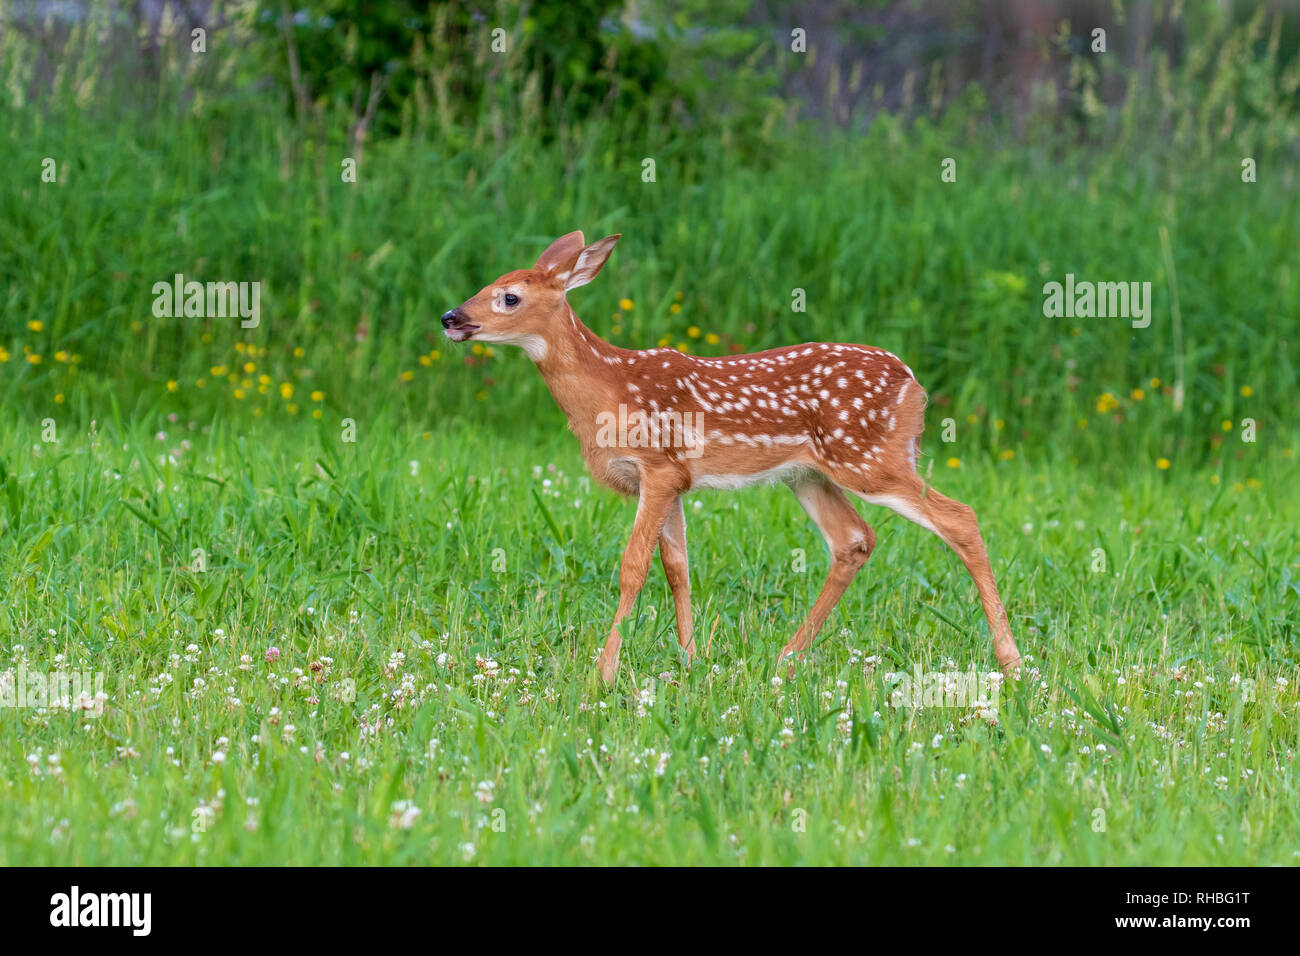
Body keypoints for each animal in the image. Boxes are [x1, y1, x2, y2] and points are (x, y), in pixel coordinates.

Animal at [441, 231, 1023, 685]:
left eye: (509, 297)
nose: (450, 317)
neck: (608, 388)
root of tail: (913, 383)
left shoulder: (658, 465)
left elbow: (633, 566)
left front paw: (603, 673)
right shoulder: (674, 478)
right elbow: (677, 567)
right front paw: (690, 660)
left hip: (869, 457)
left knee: (959, 517)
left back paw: (1011, 661)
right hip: (809, 473)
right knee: (854, 539)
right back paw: (786, 657)